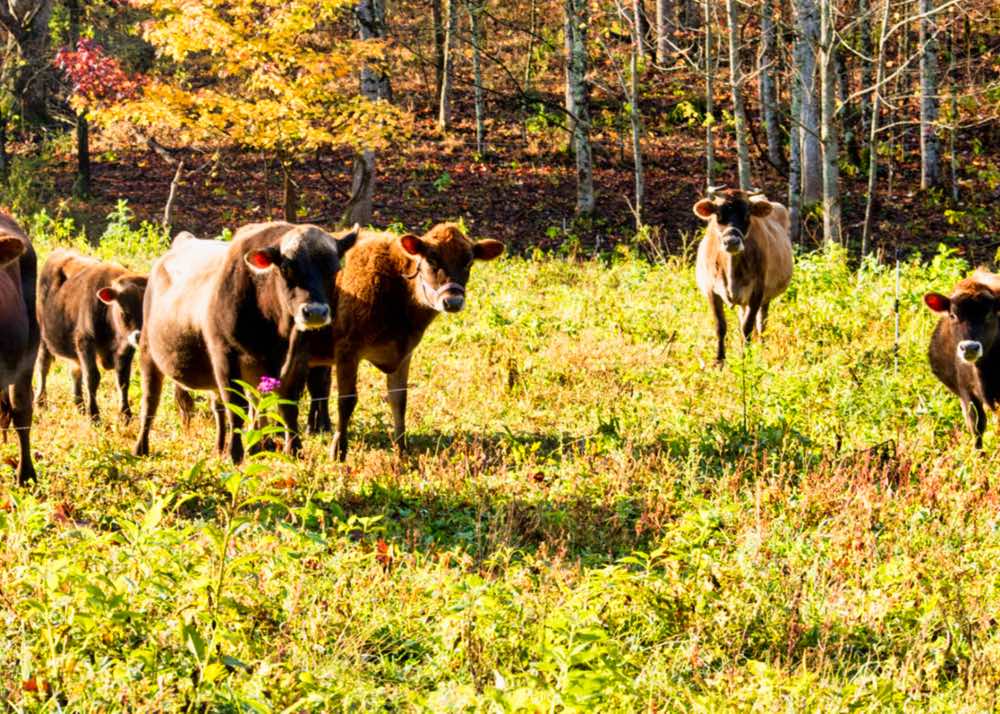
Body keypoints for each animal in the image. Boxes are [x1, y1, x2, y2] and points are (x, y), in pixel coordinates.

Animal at [35, 249, 148, 420]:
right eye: (124, 312)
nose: (139, 336)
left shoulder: (126, 348)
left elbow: (123, 380)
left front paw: (125, 414)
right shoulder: (85, 342)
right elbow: (92, 378)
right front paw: (94, 415)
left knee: (75, 372)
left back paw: (79, 405)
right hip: (43, 337)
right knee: (43, 366)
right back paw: (41, 401)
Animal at [133, 222, 357, 462]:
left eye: (334, 269)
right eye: (286, 268)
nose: (315, 312)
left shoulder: (296, 360)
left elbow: (287, 406)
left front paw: (294, 450)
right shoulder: (224, 357)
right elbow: (236, 407)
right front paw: (235, 453)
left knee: (219, 408)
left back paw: (222, 447)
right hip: (148, 352)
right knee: (150, 401)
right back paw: (141, 446)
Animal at [304, 222, 504, 459]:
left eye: (468, 262)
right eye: (432, 260)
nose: (453, 301)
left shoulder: (404, 354)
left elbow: (399, 400)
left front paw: (402, 449)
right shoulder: (347, 349)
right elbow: (347, 400)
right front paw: (339, 450)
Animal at [693, 186, 793, 363]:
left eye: (747, 215)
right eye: (718, 214)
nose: (732, 242)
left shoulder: (757, 292)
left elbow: (747, 327)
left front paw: (745, 358)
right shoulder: (711, 291)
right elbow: (720, 326)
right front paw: (719, 360)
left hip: (765, 297)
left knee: (761, 323)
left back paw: (761, 347)